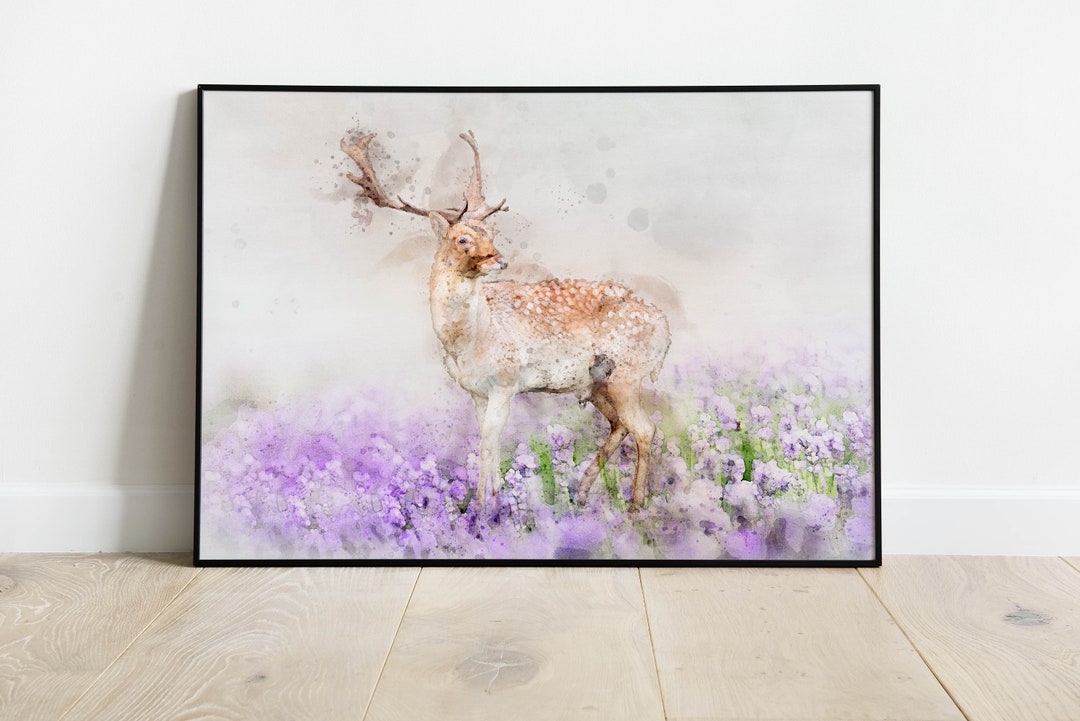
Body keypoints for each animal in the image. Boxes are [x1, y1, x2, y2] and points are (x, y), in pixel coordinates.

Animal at [339, 130, 670, 510]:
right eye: (462, 239)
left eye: (490, 234)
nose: (499, 259)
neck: (469, 340)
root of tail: (665, 328)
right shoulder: (476, 391)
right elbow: (490, 444)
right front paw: (496, 500)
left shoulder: (505, 382)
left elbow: (486, 444)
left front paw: (483, 508)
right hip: (596, 383)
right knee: (621, 425)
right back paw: (582, 491)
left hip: (627, 375)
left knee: (645, 429)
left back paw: (636, 505)